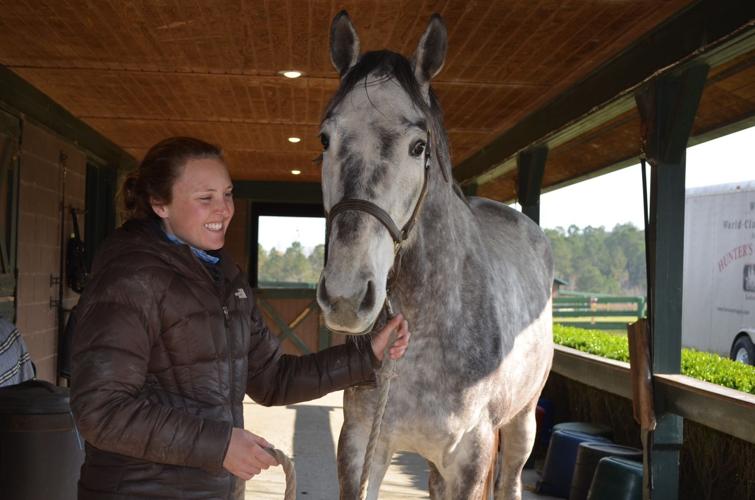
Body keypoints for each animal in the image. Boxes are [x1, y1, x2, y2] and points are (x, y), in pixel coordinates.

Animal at [316, 11, 554, 500]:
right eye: (325, 139)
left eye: (418, 146)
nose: (346, 297)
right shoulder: (362, 445)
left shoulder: (469, 457)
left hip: (522, 423)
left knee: (511, 479)